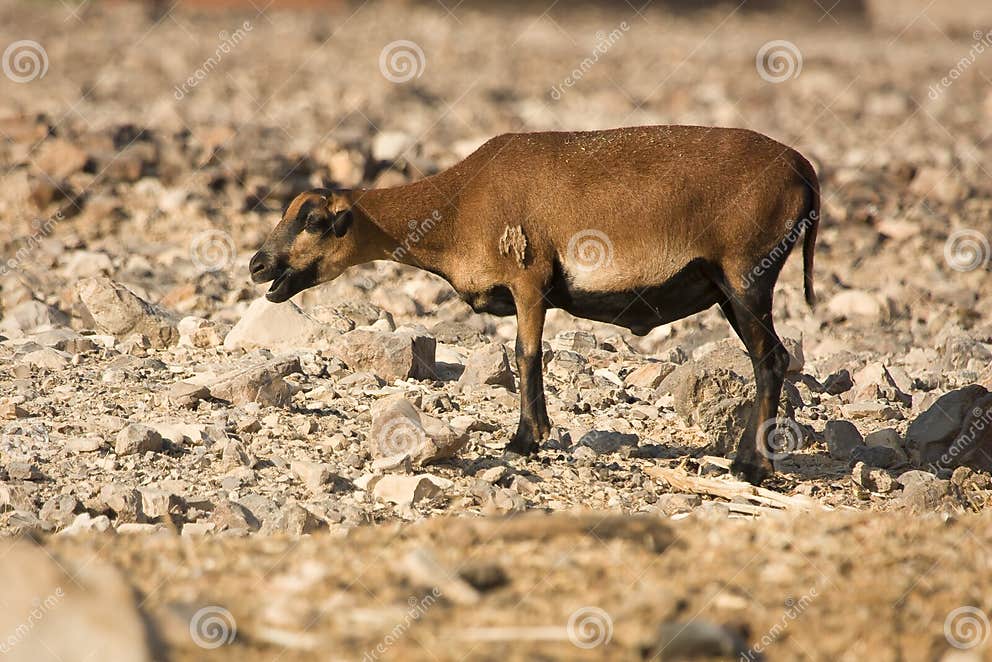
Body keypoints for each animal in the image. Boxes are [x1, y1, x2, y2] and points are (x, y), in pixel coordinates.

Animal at [249, 125, 819, 484]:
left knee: (771, 360)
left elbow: (526, 356)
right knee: (766, 359)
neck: (458, 205)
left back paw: (754, 467)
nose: (257, 266)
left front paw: (525, 440)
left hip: (747, 277)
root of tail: (803, 169)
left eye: (314, 222)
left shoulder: (530, 280)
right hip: (730, 290)